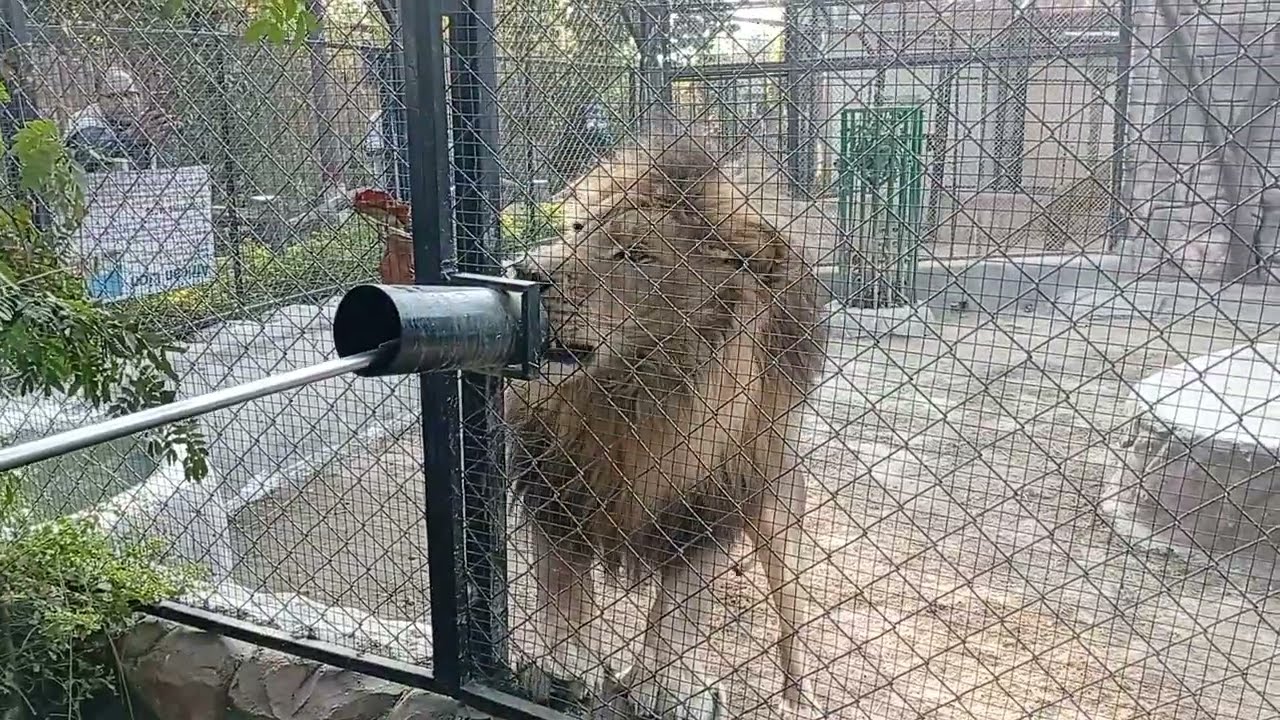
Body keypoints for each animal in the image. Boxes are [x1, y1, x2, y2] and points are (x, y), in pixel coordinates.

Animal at [506, 133, 825, 719]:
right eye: (577, 228)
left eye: (636, 255)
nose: (521, 271)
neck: (633, 400)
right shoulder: (552, 480)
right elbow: (561, 579)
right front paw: (563, 665)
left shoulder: (709, 502)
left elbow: (683, 603)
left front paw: (666, 687)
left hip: (775, 504)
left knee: (789, 606)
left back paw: (799, 695)